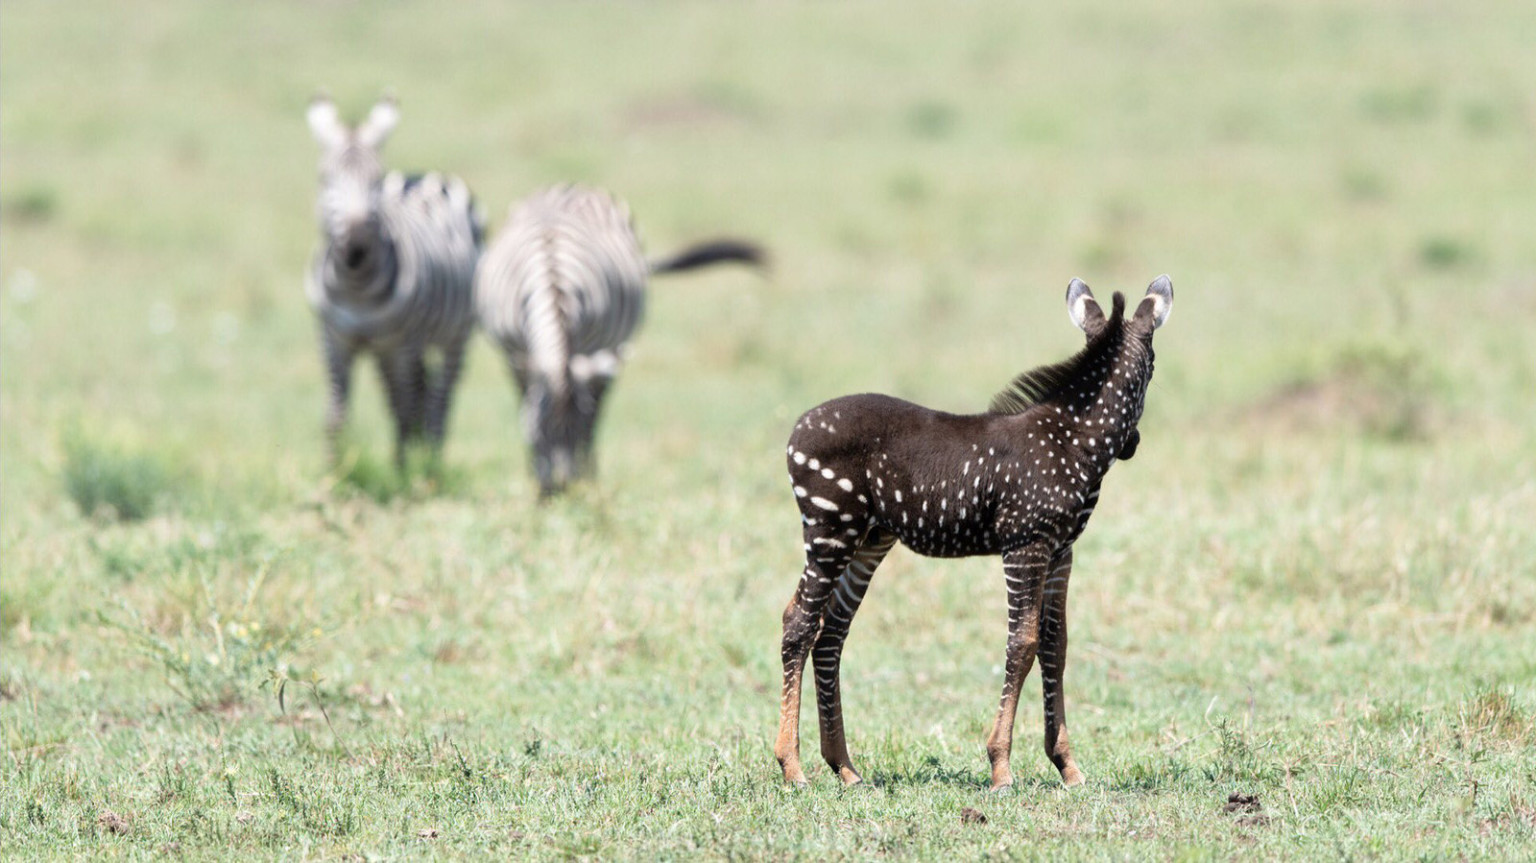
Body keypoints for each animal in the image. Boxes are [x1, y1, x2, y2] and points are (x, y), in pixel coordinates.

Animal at [304, 95, 483, 468]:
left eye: (376, 179)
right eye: (325, 178)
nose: (357, 246)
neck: (355, 287)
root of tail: (425, 174)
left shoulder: (403, 343)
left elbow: (406, 407)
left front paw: (403, 472)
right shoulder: (333, 338)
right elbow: (335, 414)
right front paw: (333, 471)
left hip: (454, 334)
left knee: (437, 398)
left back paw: (431, 457)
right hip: (386, 348)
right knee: (413, 393)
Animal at [475, 183, 763, 496]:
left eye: (578, 434)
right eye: (539, 434)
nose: (564, 489)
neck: (553, 284)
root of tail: (573, 187)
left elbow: (591, 415)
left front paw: (584, 474)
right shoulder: (515, 352)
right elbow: (524, 404)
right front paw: (536, 476)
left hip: (615, 345)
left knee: (601, 401)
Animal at [773, 276, 1173, 790]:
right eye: (1152, 370)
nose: (1133, 446)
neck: (1072, 440)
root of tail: (798, 427)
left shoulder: (1061, 550)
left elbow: (1055, 644)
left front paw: (1067, 765)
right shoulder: (1026, 544)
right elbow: (1022, 644)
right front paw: (1001, 766)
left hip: (868, 539)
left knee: (830, 633)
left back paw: (844, 767)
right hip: (829, 530)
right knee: (798, 624)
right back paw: (792, 766)